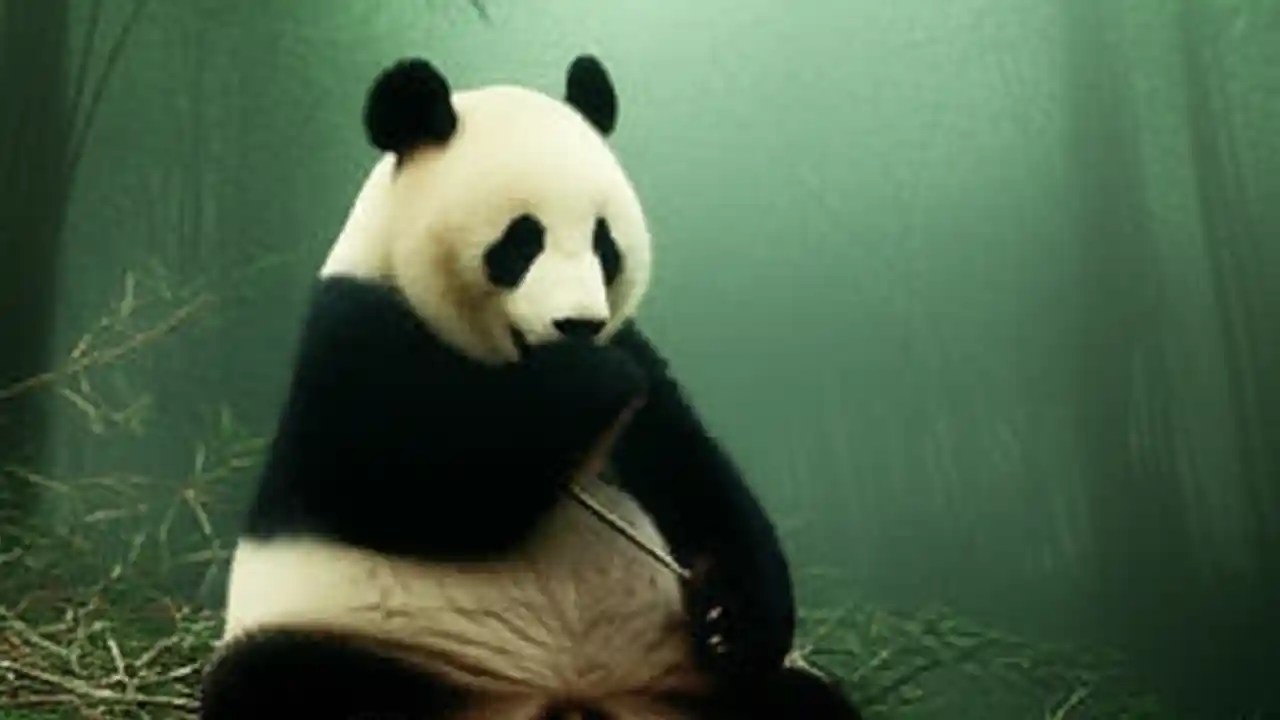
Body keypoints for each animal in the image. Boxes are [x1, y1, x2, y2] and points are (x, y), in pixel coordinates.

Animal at [199, 54, 862, 720]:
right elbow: (406, 483)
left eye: (604, 243)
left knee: (804, 699)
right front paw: (590, 382)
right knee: (276, 678)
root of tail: (565, 699)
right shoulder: (353, 335)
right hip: (368, 644)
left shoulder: (637, 357)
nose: (579, 325)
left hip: (691, 684)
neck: (514, 370)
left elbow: (695, 470)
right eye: (521, 241)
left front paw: (733, 621)